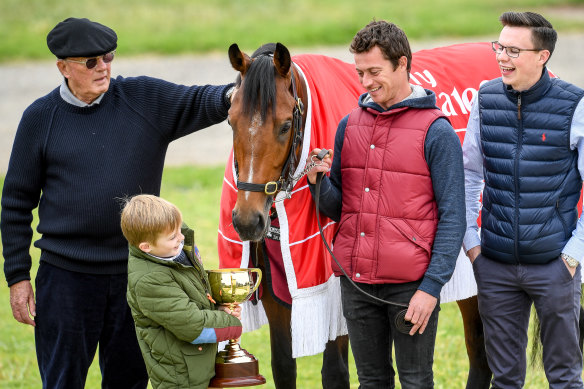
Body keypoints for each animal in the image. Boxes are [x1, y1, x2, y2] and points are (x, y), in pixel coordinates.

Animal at [219, 41, 584, 386]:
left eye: (284, 126)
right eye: (231, 121)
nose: (247, 220)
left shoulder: (337, 302)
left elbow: (335, 374)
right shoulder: (277, 305)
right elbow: (283, 369)